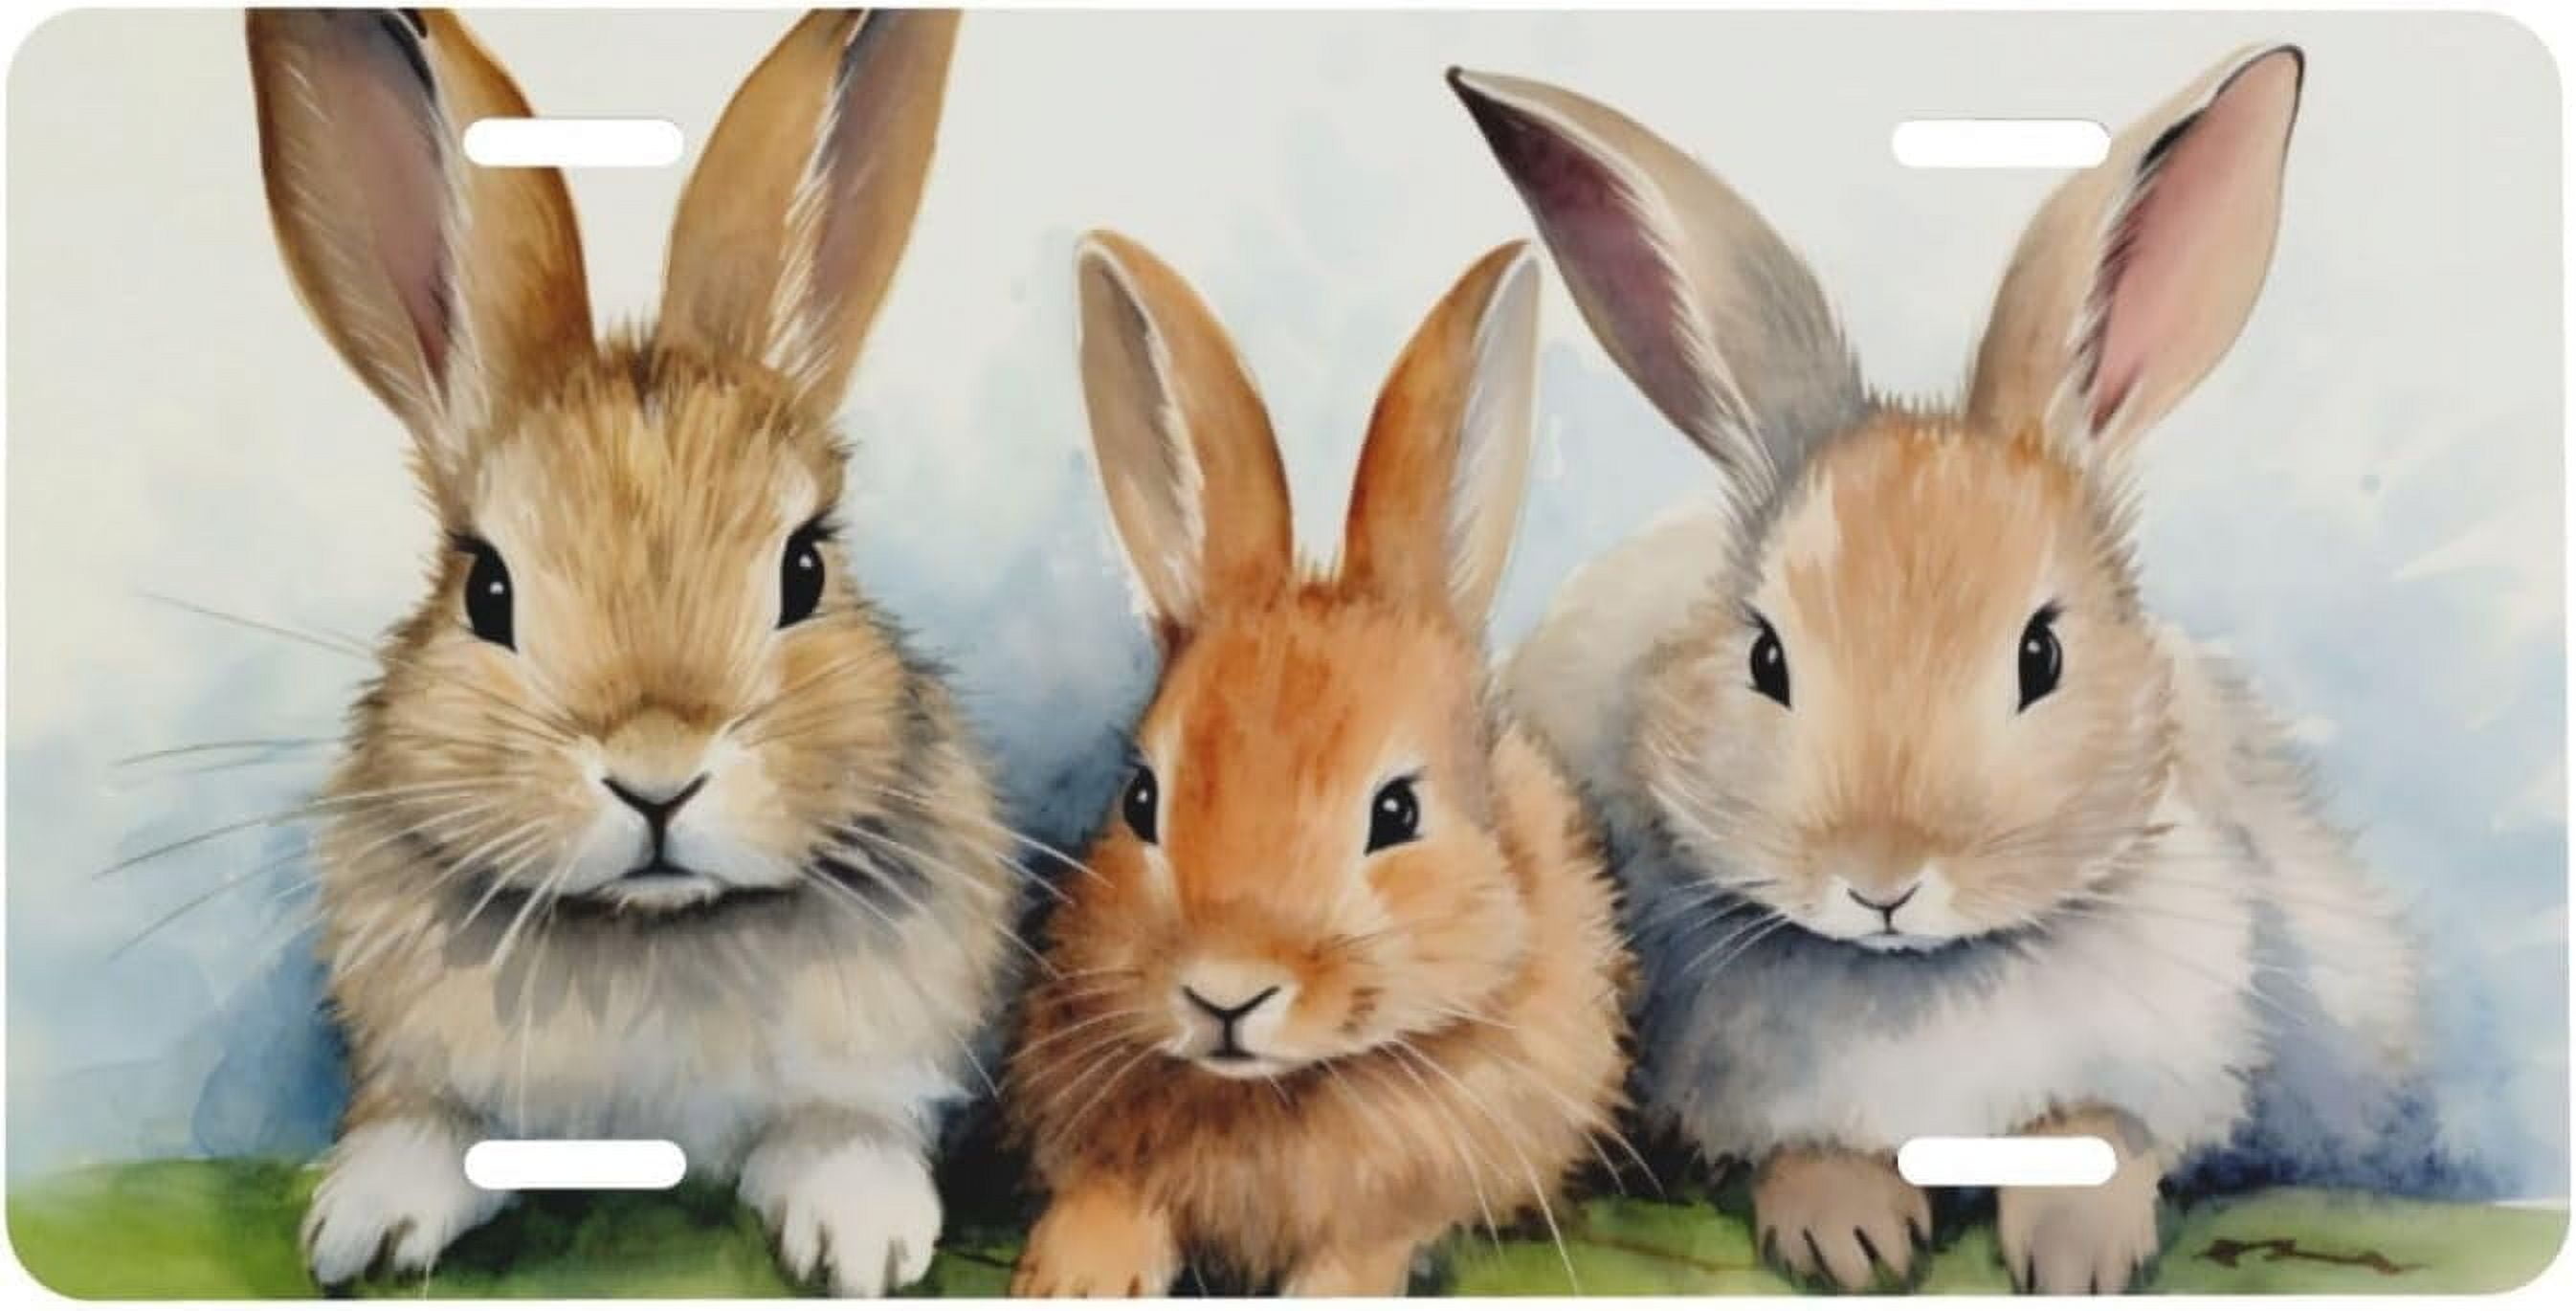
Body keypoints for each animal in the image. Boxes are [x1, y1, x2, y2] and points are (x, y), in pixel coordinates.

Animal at [247, 9, 1015, 1295]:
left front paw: (859, 1238)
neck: (655, 924)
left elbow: (843, 1123)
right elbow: (426, 1120)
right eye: (488, 589)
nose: (658, 775)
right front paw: (367, 1225)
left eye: (804, 571)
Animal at [1004, 233, 1632, 1297]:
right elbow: (1109, 1188)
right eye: (1141, 799)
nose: (1226, 990)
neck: (1284, 1085)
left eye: (1398, 813)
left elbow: (1370, 1239)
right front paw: (1072, 1275)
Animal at [1450, 46, 2423, 1294]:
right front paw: (1847, 1236)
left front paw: (2076, 1253)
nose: (1881, 879)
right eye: (1764, 655)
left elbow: (2099, 1131)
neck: (1930, 972)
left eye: (2040, 654)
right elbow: (1808, 1150)